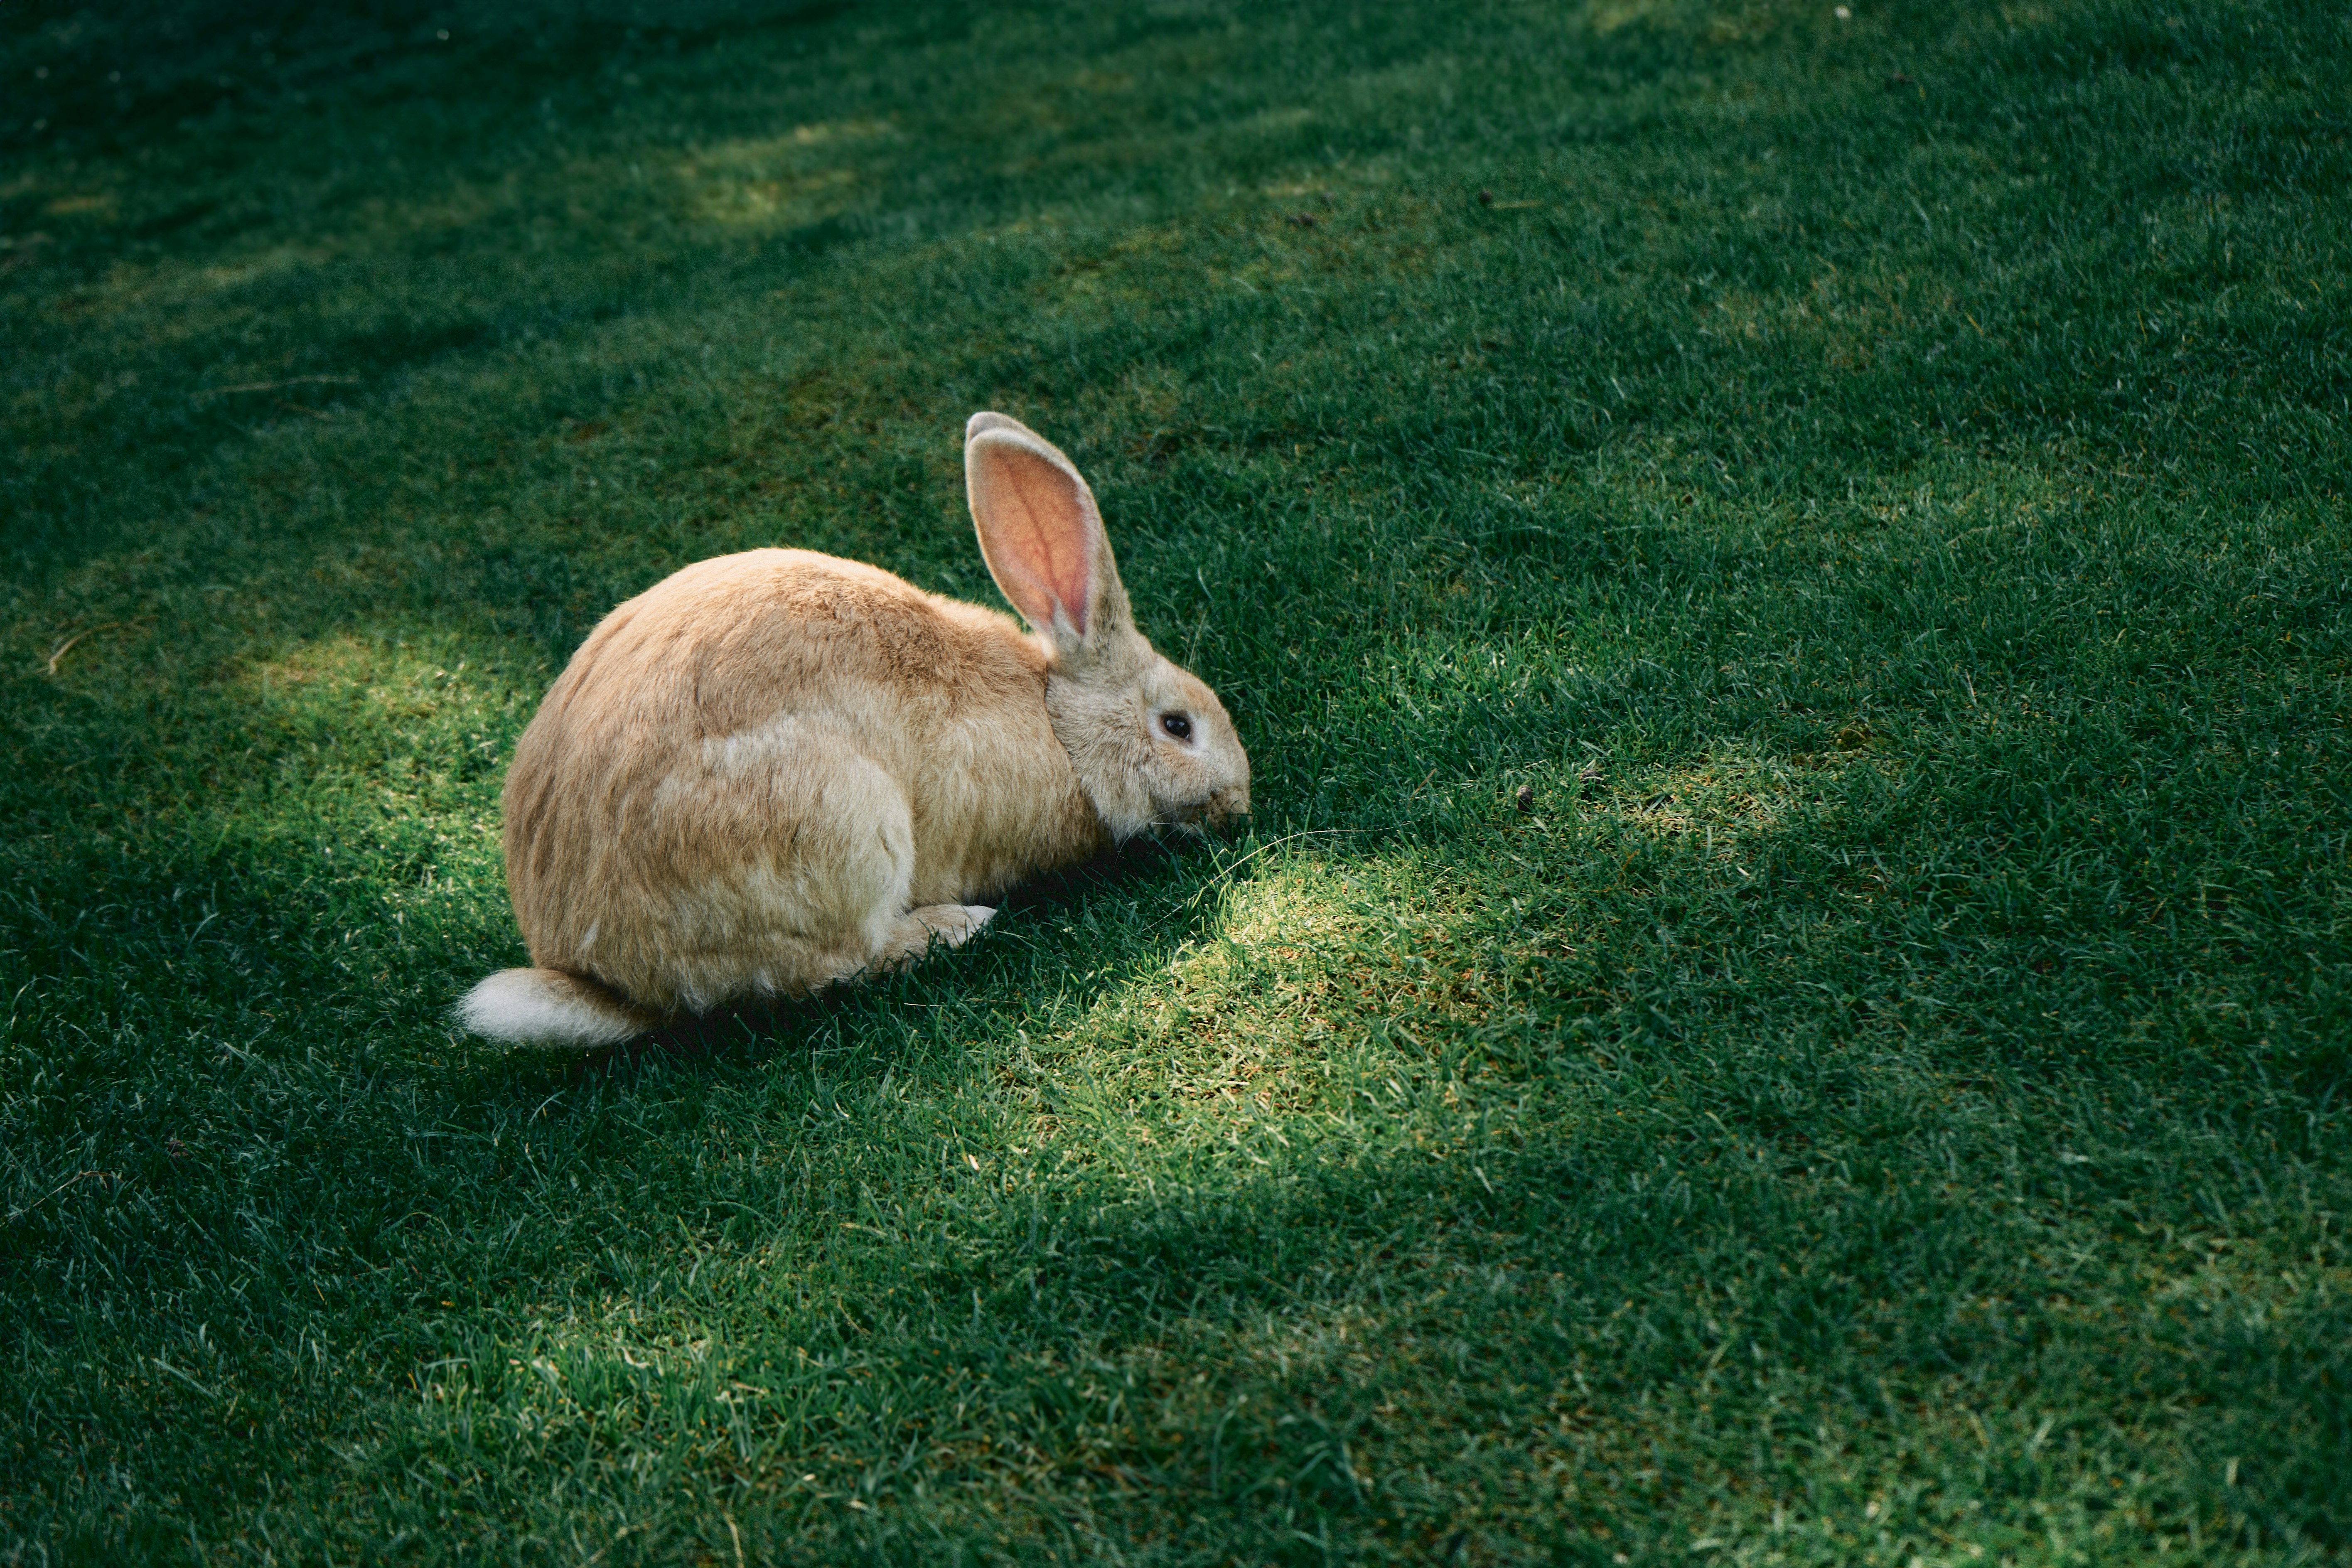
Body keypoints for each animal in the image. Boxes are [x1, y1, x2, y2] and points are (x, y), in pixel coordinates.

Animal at [457, 412, 1251, 1047]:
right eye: (1177, 726)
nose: (1239, 807)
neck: (1060, 725)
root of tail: (602, 975)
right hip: (842, 827)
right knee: (833, 965)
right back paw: (956, 925)